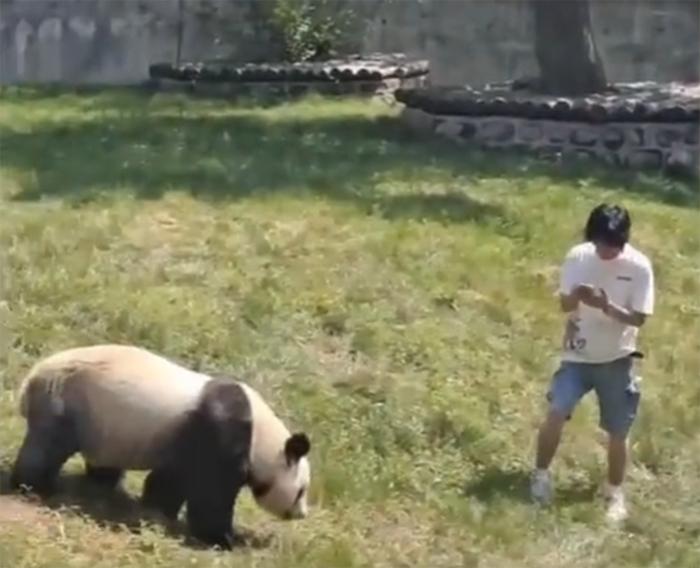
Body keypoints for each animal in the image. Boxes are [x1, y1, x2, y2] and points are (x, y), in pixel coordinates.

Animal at [9, 343, 312, 549]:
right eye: (301, 491)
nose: (301, 514)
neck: (261, 436)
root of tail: (31, 380)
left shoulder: (186, 438)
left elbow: (170, 479)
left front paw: (157, 512)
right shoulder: (223, 429)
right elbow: (211, 492)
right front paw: (225, 539)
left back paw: (101, 486)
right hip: (66, 399)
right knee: (48, 446)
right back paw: (33, 486)